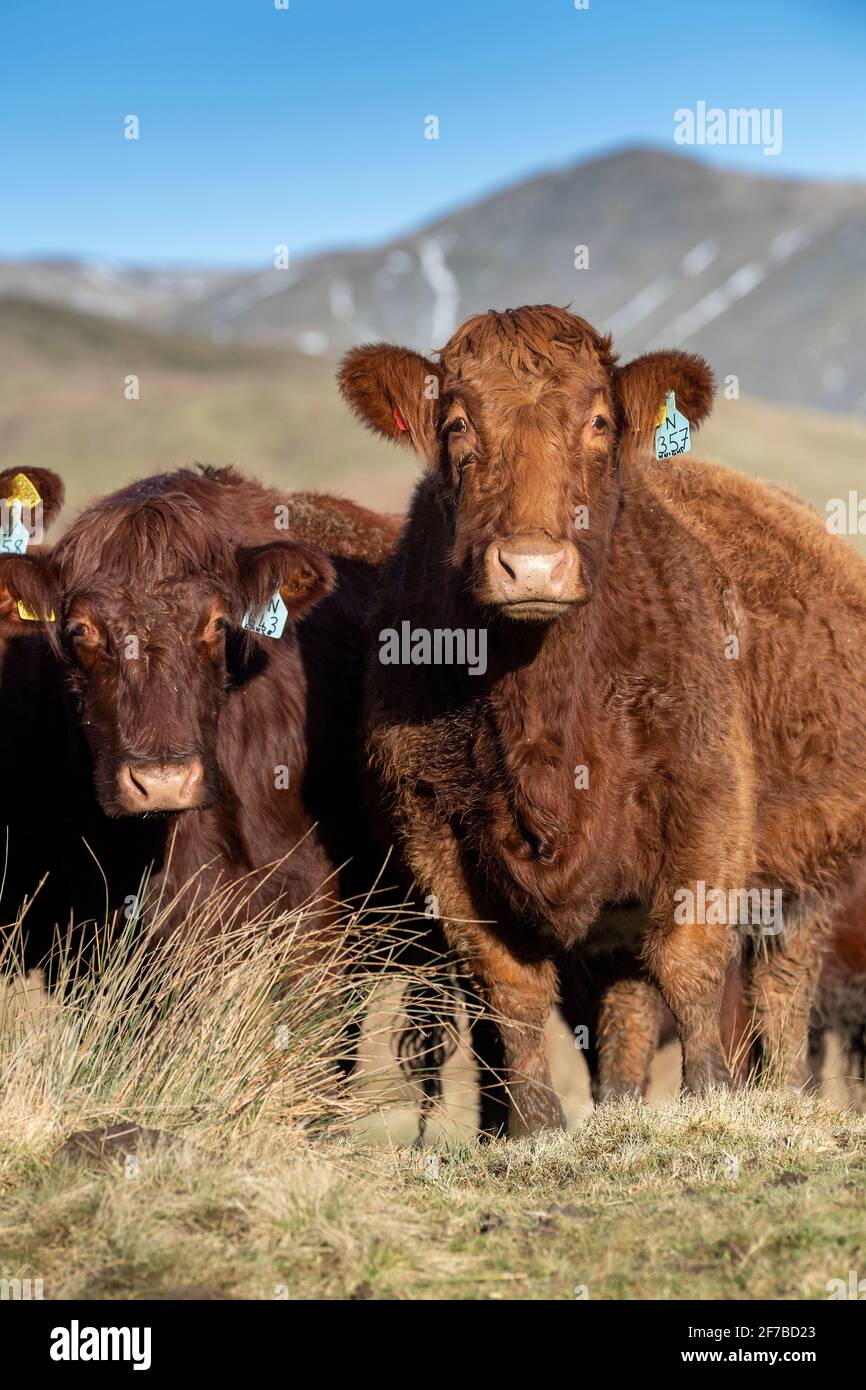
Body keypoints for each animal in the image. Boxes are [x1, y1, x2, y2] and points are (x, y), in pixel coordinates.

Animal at [340, 304, 866, 1138]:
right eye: (456, 423)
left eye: (597, 421)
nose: (531, 565)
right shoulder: (433, 831)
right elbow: (509, 985)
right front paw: (532, 1127)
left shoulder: (708, 802)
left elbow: (690, 960)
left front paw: (709, 1099)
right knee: (625, 1005)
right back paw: (618, 1106)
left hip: (807, 873)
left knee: (780, 992)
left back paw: (781, 1094)